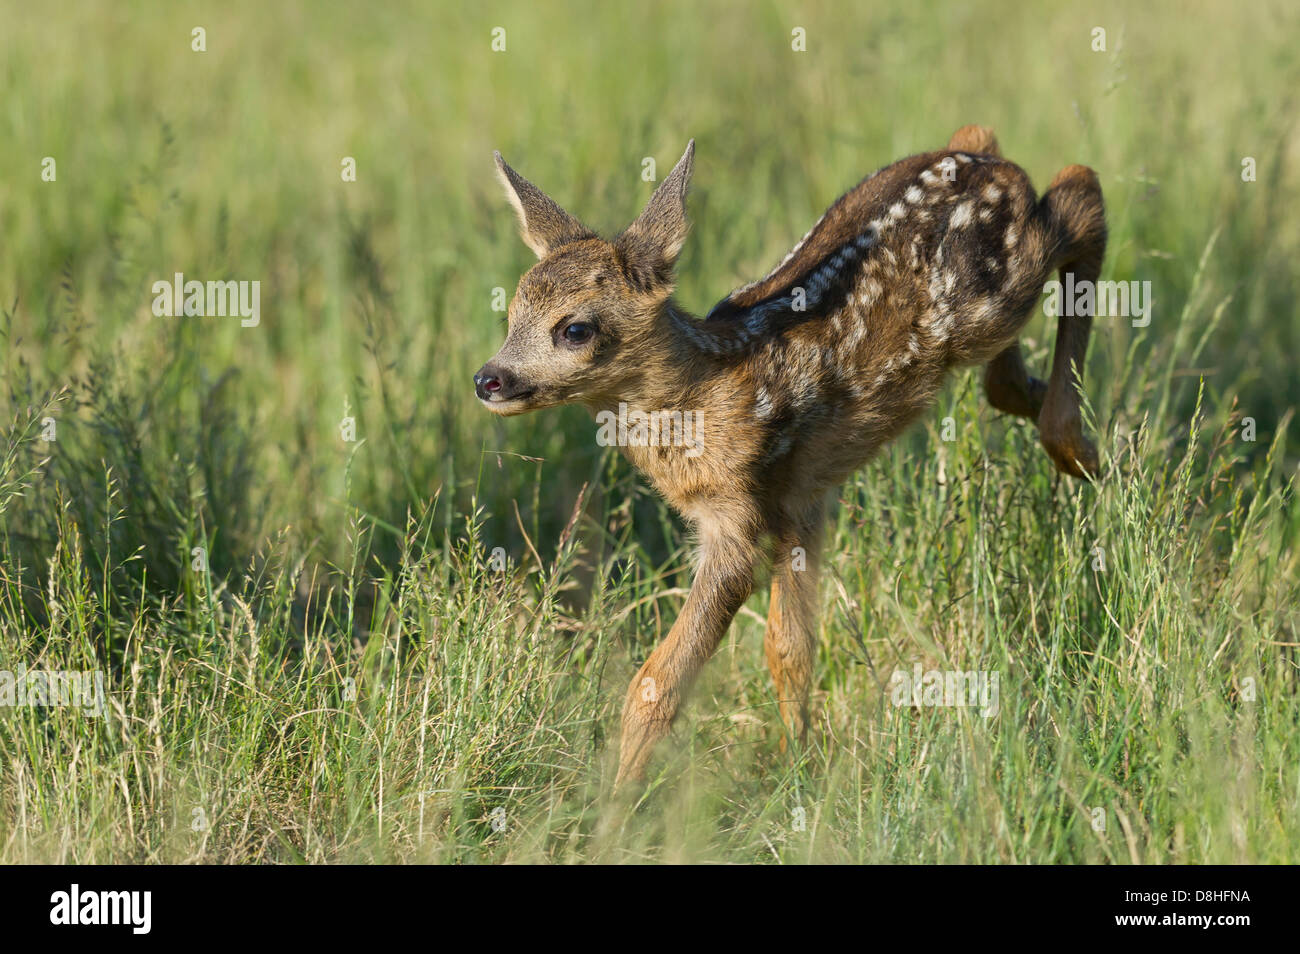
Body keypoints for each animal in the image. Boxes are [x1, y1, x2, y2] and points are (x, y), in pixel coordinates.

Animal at [476, 125, 1106, 786]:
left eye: (574, 329)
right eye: (512, 312)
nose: (488, 379)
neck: (704, 391)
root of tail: (993, 165)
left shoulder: (734, 519)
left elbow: (656, 683)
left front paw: (615, 801)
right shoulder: (800, 498)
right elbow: (789, 646)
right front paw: (798, 765)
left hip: (991, 297)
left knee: (1081, 188)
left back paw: (1076, 447)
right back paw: (1033, 393)